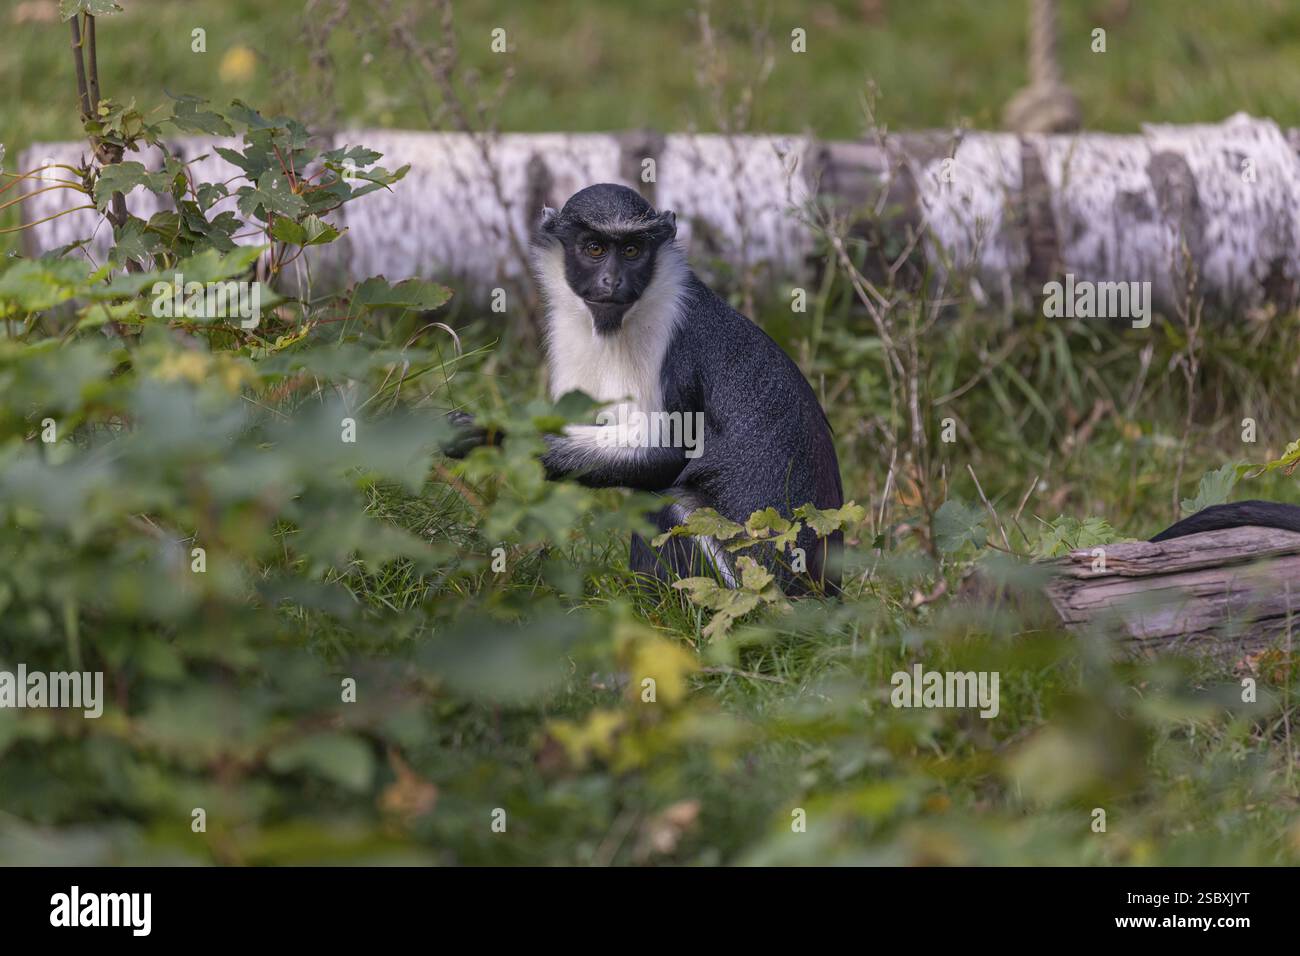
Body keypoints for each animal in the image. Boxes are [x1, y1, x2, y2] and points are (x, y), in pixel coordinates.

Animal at [446, 183, 843, 594]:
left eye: (632, 250)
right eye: (594, 248)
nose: (612, 281)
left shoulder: (667, 341)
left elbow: (668, 453)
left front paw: (492, 433)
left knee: (668, 503)